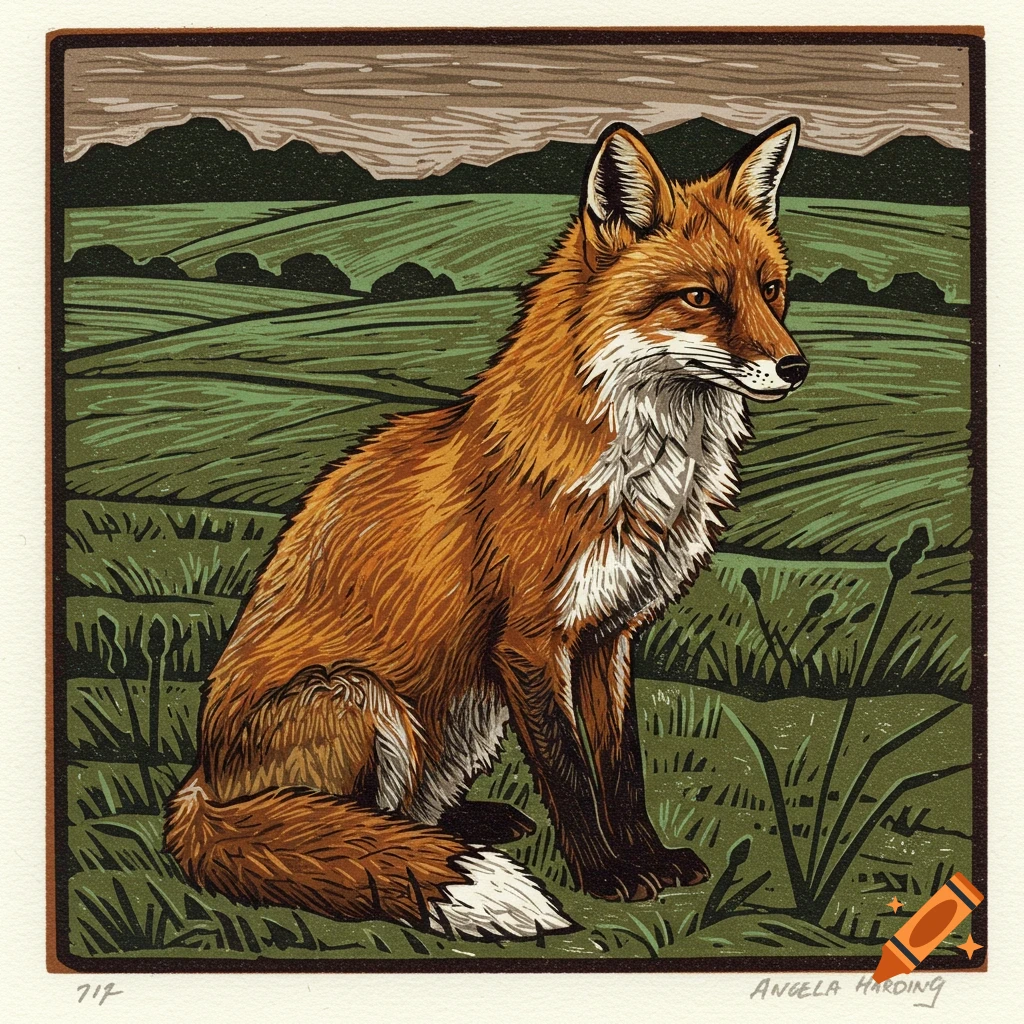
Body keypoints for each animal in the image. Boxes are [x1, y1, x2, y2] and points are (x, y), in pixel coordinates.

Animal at [165, 117, 809, 940]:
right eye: (700, 298)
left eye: (771, 289)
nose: (795, 366)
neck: (645, 470)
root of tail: (201, 782)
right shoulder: (530, 642)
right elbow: (570, 774)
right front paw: (606, 876)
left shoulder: (610, 636)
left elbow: (622, 768)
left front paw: (648, 858)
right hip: (367, 702)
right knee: (318, 825)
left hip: (467, 720)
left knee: (401, 816)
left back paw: (466, 828)